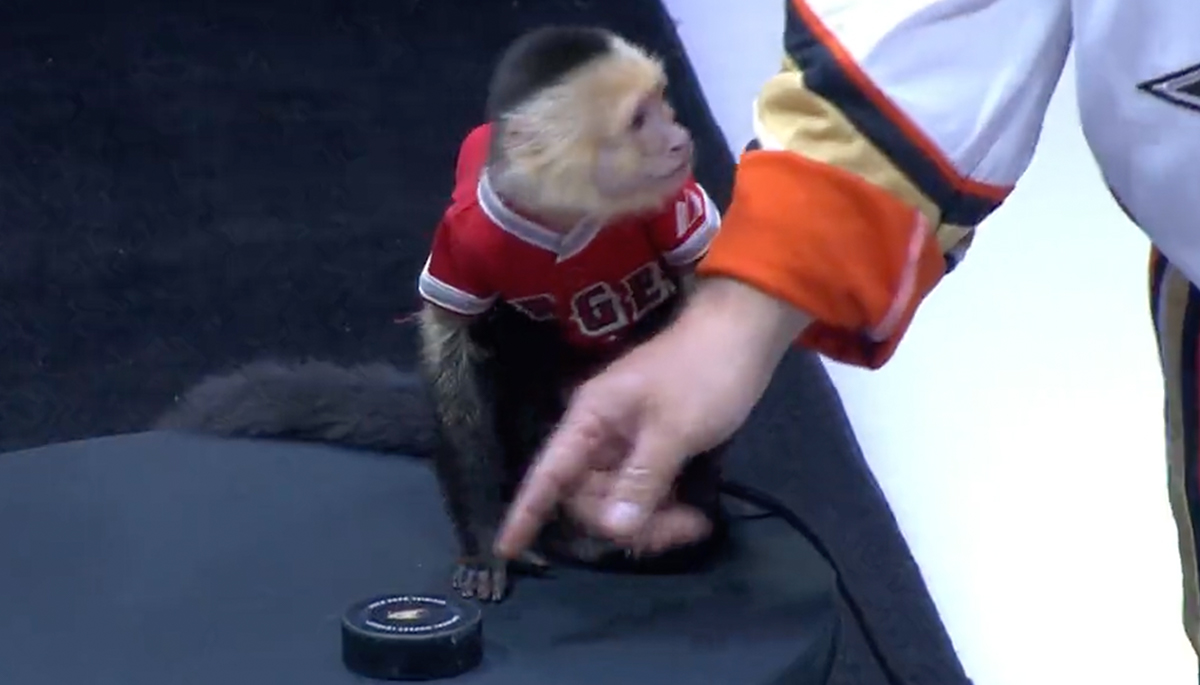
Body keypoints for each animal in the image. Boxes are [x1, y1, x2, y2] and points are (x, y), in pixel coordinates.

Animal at [154, 25, 730, 603]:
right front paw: (488, 540)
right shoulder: (466, 237)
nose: (678, 139)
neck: (570, 220)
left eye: (663, 102)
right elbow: (455, 364)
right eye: (638, 120)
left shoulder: (673, 204)